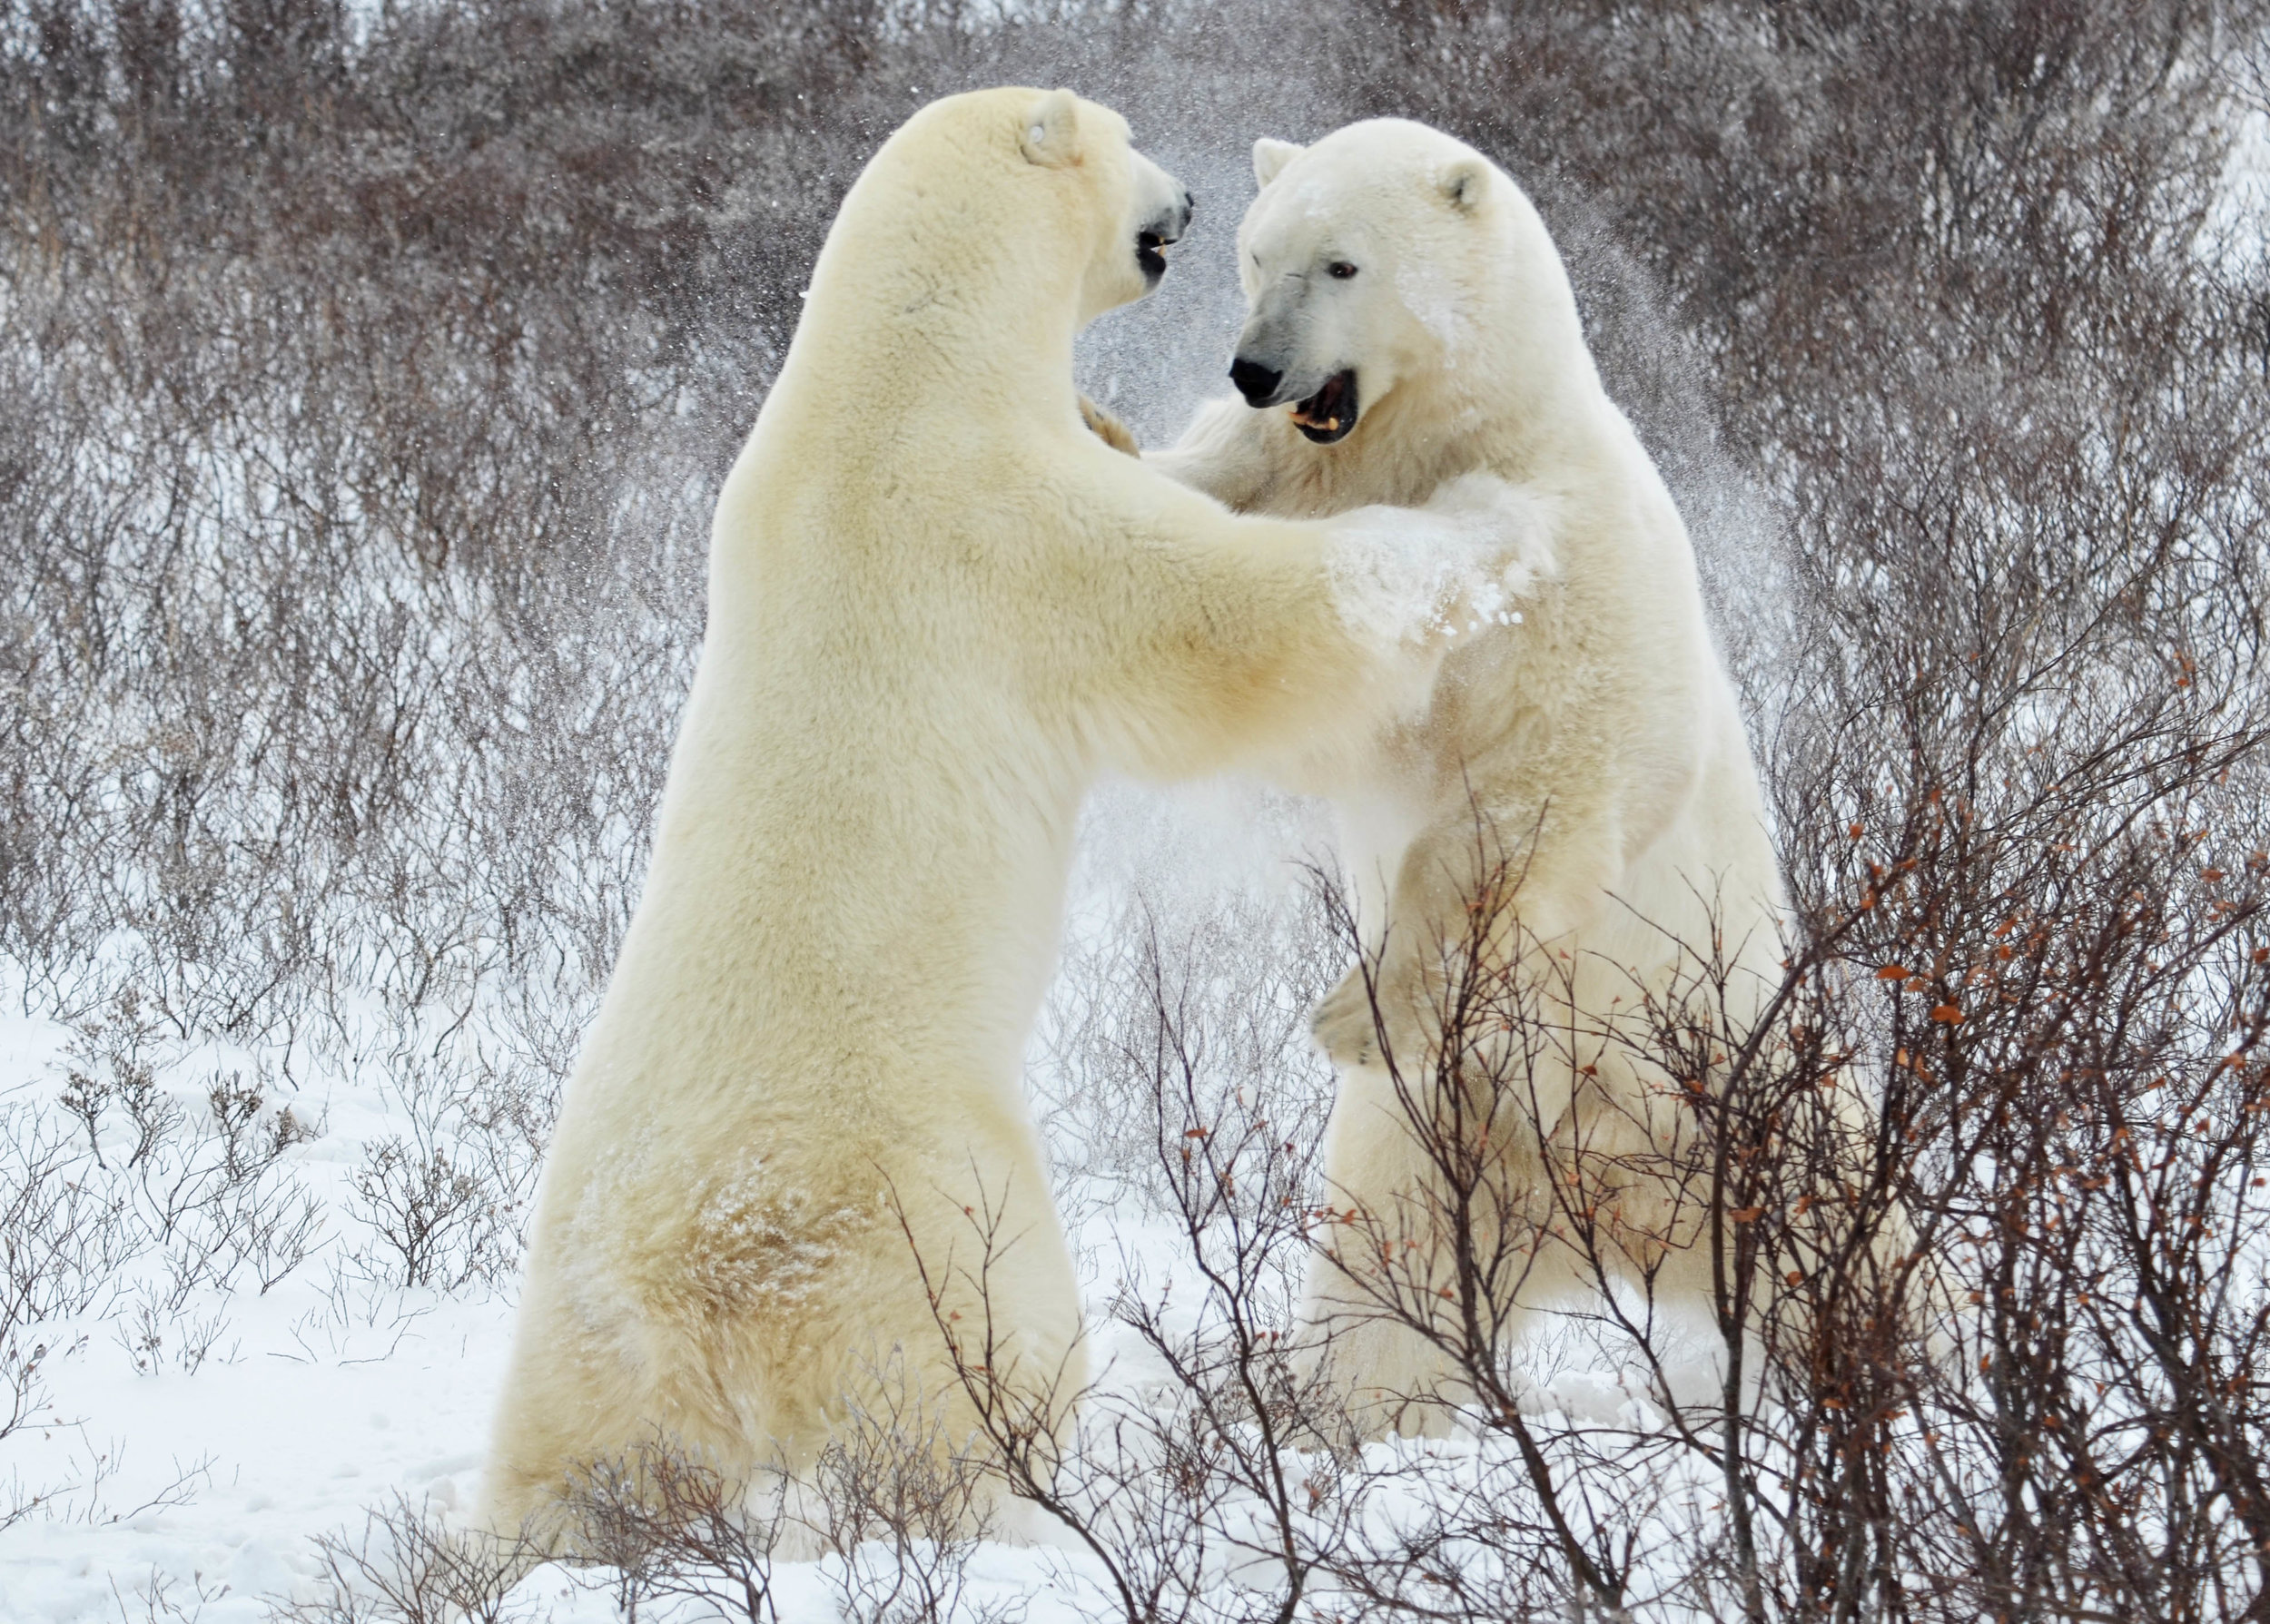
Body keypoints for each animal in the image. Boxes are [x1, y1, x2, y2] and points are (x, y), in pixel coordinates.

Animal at [478, 90, 1548, 1545]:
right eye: (1124, 135)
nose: (1190, 197)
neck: (894, 369)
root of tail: (693, 1309)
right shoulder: (999, 520)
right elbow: (1230, 625)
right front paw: (1486, 522)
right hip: (922, 1205)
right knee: (983, 1354)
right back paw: (1019, 1494)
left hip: (576, 1323)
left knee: (570, 1440)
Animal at [1143, 119, 1796, 1433]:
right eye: (1255, 253)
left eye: (1341, 264)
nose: (1255, 368)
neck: (1444, 435)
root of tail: (1603, 1218)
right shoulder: (1283, 469)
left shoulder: (1573, 558)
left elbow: (1540, 782)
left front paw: (1354, 1010)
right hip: (1422, 1153)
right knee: (1379, 1307)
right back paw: (1346, 1417)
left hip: (1733, 1099)